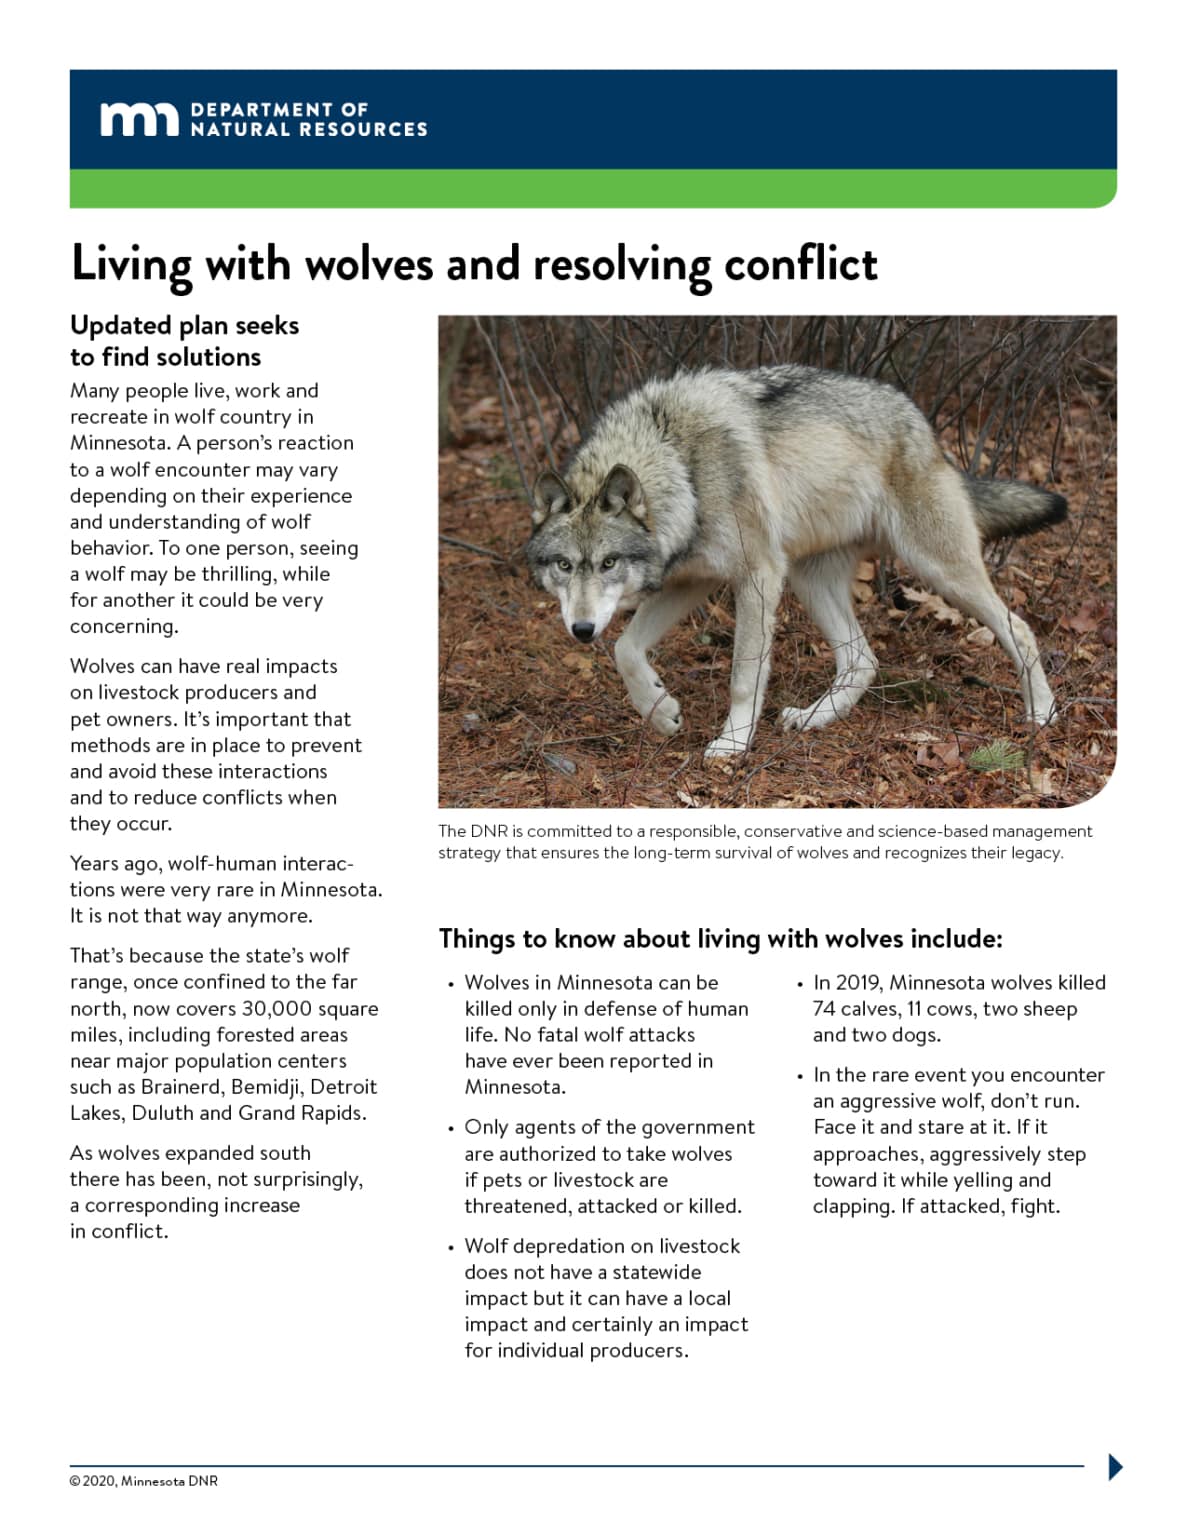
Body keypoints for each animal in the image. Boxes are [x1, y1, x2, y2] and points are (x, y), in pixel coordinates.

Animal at [525, 365, 1067, 758]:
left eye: (609, 562)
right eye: (565, 566)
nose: (581, 630)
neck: (682, 464)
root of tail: (926, 430)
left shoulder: (757, 575)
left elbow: (743, 676)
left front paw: (733, 743)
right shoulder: (692, 581)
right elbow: (626, 650)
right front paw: (660, 710)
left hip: (937, 569)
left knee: (1019, 628)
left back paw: (1042, 713)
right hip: (811, 581)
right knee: (862, 659)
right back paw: (812, 719)